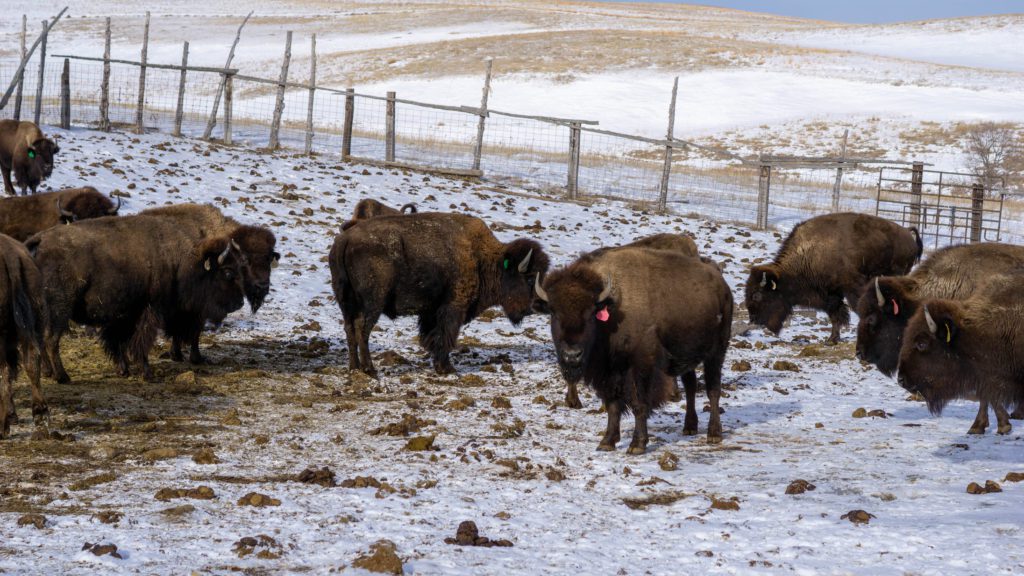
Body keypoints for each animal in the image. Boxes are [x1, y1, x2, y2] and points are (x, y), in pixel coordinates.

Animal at [28, 213, 247, 382]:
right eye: (228, 273)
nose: (239, 302)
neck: (182, 264)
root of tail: (39, 242)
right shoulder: (149, 311)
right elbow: (140, 342)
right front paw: (147, 374)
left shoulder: (125, 315)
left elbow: (118, 341)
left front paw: (123, 370)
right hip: (60, 309)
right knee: (51, 340)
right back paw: (62, 377)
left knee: (41, 340)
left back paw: (47, 372)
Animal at [329, 212, 549, 376]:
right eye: (530, 278)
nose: (531, 309)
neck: (482, 258)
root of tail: (345, 240)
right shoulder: (453, 308)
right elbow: (445, 336)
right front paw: (447, 368)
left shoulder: (430, 311)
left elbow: (432, 337)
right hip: (372, 303)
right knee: (362, 329)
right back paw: (370, 369)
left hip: (346, 302)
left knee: (349, 329)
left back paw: (354, 367)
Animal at [536, 247, 733, 454]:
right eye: (554, 313)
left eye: (590, 313)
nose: (572, 355)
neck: (612, 308)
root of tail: (722, 285)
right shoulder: (610, 372)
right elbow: (612, 405)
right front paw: (607, 442)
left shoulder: (641, 365)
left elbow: (639, 403)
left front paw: (637, 445)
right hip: (688, 357)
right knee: (690, 387)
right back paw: (689, 427)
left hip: (716, 352)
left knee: (713, 390)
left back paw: (714, 434)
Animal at [745, 212, 921, 344]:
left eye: (757, 295)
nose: (754, 319)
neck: (808, 254)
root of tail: (907, 233)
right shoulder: (830, 294)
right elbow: (836, 315)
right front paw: (831, 340)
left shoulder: (852, 287)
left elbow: (858, 309)